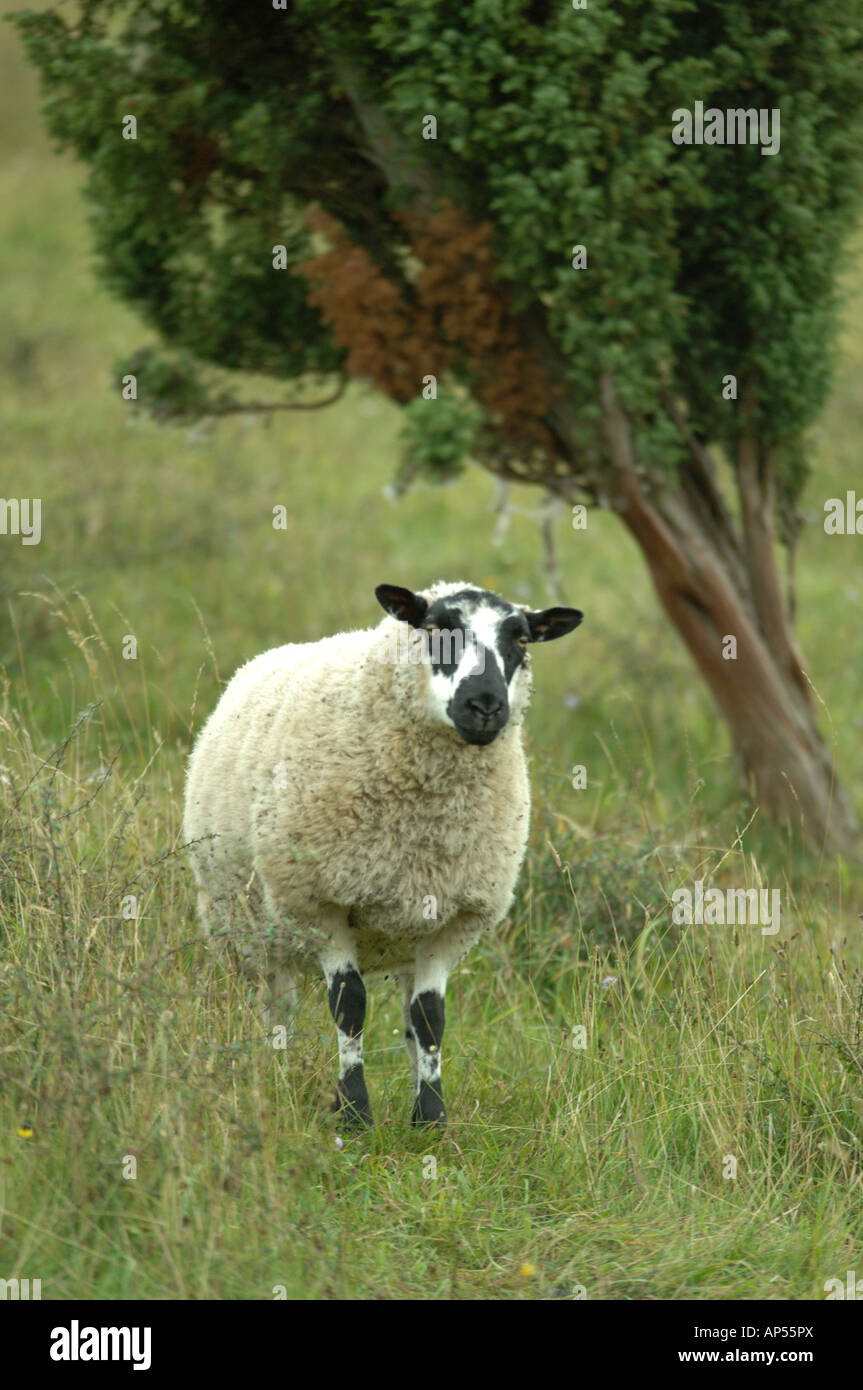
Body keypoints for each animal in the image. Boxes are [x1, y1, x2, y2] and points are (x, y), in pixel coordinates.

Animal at [183, 580, 583, 1130]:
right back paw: (272, 1076)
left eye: (520, 638)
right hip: (246, 924)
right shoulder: (320, 903)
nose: (485, 705)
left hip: (402, 933)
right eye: (434, 628)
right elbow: (349, 1006)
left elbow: (430, 1017)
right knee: (273, 1004)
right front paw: (354, 1114)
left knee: (408, 1014)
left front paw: (430, 1118)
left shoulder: (451, 916)